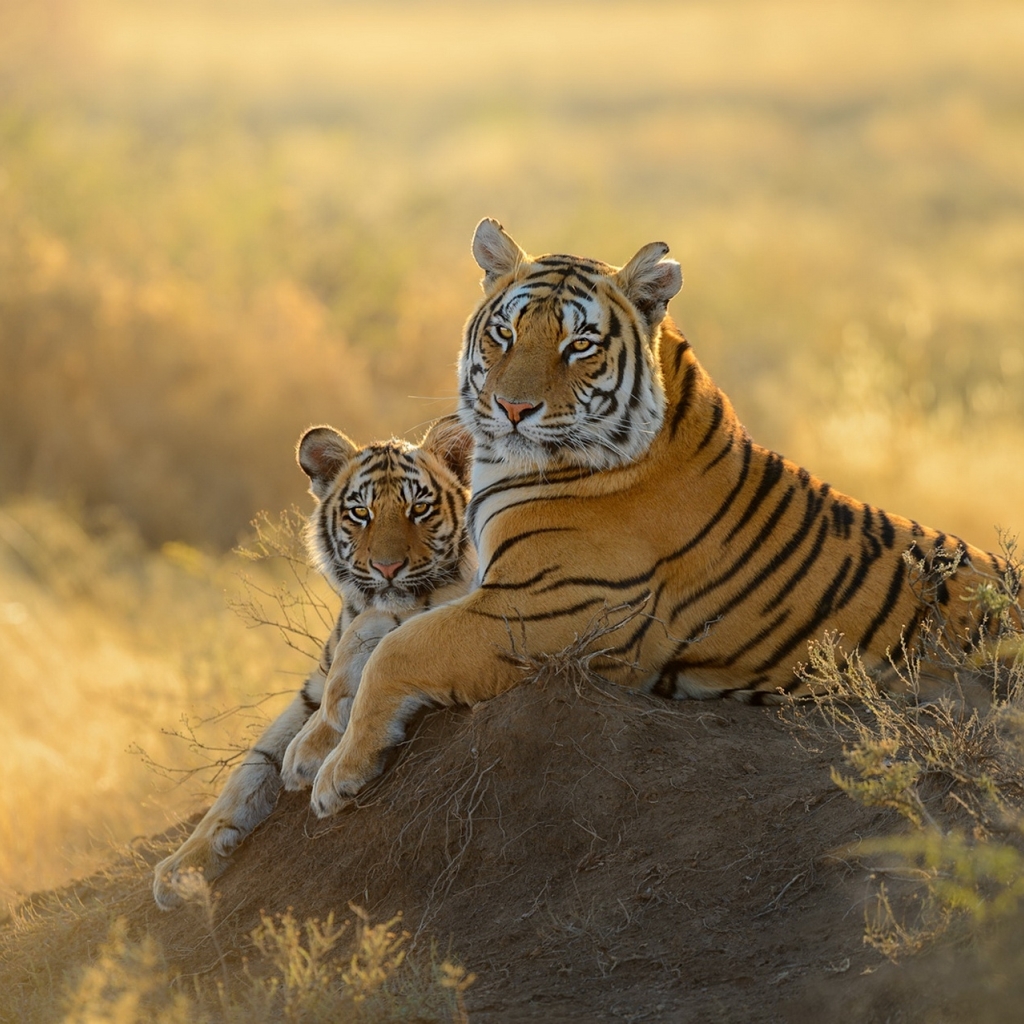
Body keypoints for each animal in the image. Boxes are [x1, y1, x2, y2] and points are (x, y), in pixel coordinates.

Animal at [152, 415, 474, 909]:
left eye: (419, 509)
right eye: (360, 513)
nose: (387, 568)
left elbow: (369, 639)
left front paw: (311, 750)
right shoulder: (309, 691)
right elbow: (249, 769)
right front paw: (182, 867)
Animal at [304, 218, 1021, 819]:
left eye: (579, 345)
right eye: (504, 333)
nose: (511, 409)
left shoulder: (541, 612)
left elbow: (400, 648)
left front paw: (337, 775)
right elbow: (373, 631)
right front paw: (311, 744)